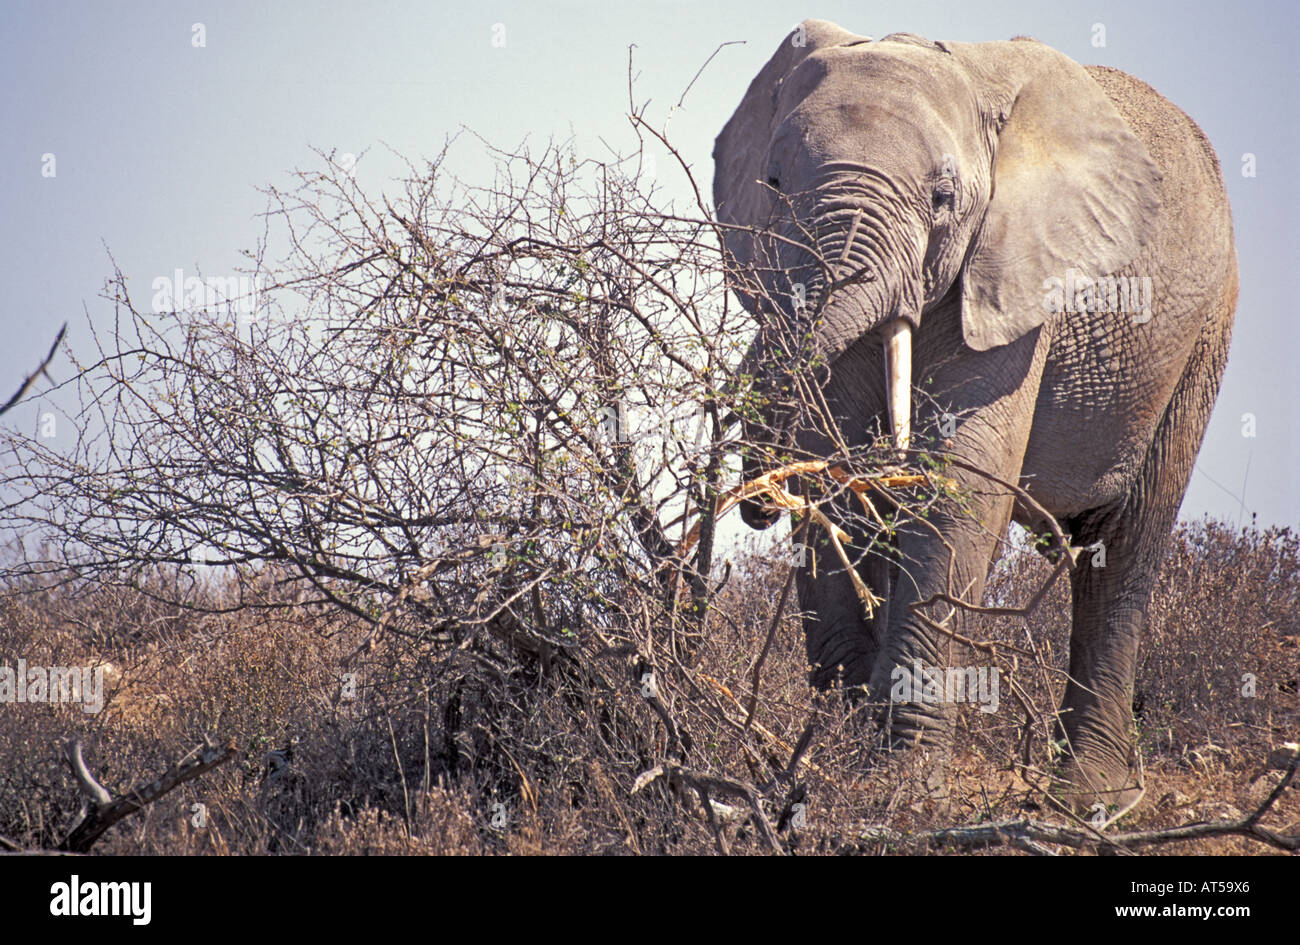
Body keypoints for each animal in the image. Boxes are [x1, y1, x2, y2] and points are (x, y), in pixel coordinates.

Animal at [714, 19, 1237, 808]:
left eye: (942, 197)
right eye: (772, 186)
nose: (752, 503)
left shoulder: (1016, 280)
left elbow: (961, 482)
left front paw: (897, 787)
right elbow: (830, 471)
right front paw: (831, 763)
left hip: (1199, 342)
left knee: (1125, 547)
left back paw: (1086, 798)